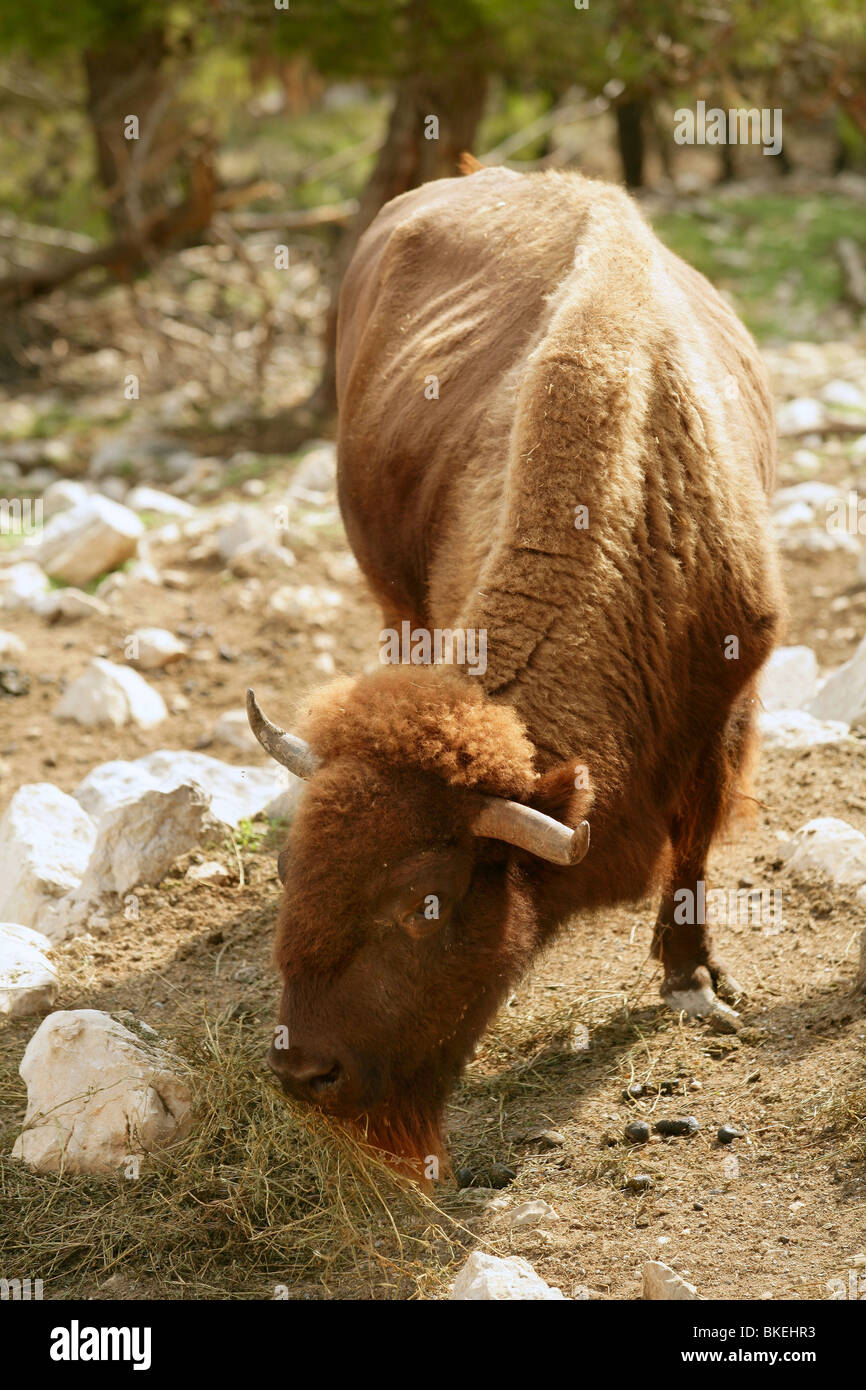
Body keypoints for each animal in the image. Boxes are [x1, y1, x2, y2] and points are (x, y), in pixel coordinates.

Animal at [248, 163, 783, 1175]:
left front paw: (693, 979)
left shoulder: (726, 705)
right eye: (293, 868)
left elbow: (695, 839)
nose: (305, 1075)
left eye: (427, 903)